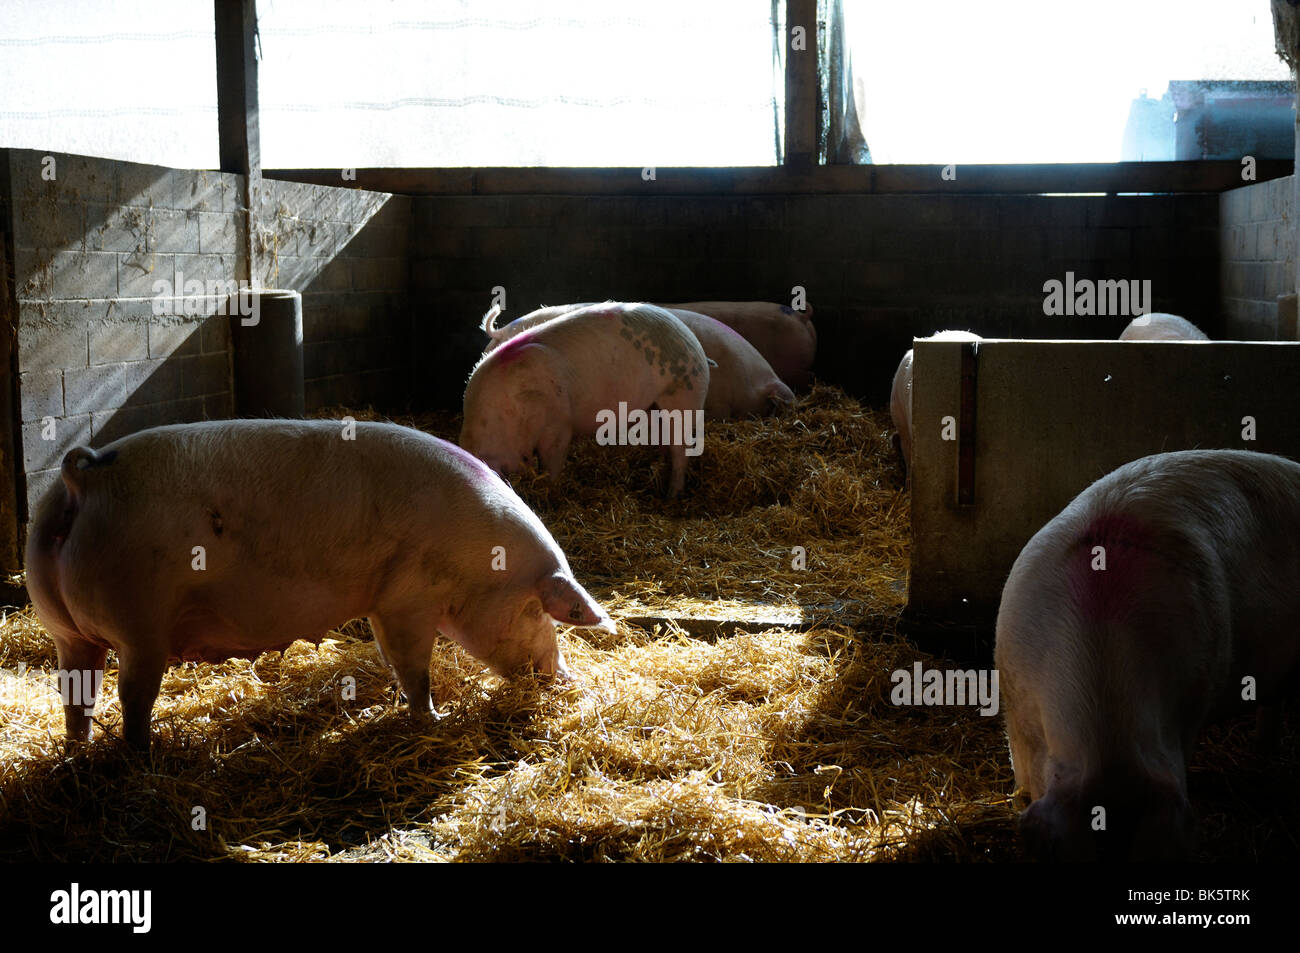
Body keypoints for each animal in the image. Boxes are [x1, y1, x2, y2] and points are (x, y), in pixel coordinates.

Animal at [23, 419, 615, 751]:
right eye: (538, 610)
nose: (563, 678)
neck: (478, 560)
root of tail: (83, 476)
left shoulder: (386, 603)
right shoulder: (407, 599)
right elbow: (412, 666)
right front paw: (436, 719)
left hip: (63, 629)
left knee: (76, 696)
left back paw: (78, 753)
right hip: (138, 627)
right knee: (131, 697)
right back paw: (145, 757)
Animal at [461, 301, 709, 497]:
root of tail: (695, 344)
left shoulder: (559, 423)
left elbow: (553, 463)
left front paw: (553, 493)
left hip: (684, 397)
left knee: (681, 450)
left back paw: (672, 497)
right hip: (655, 406)